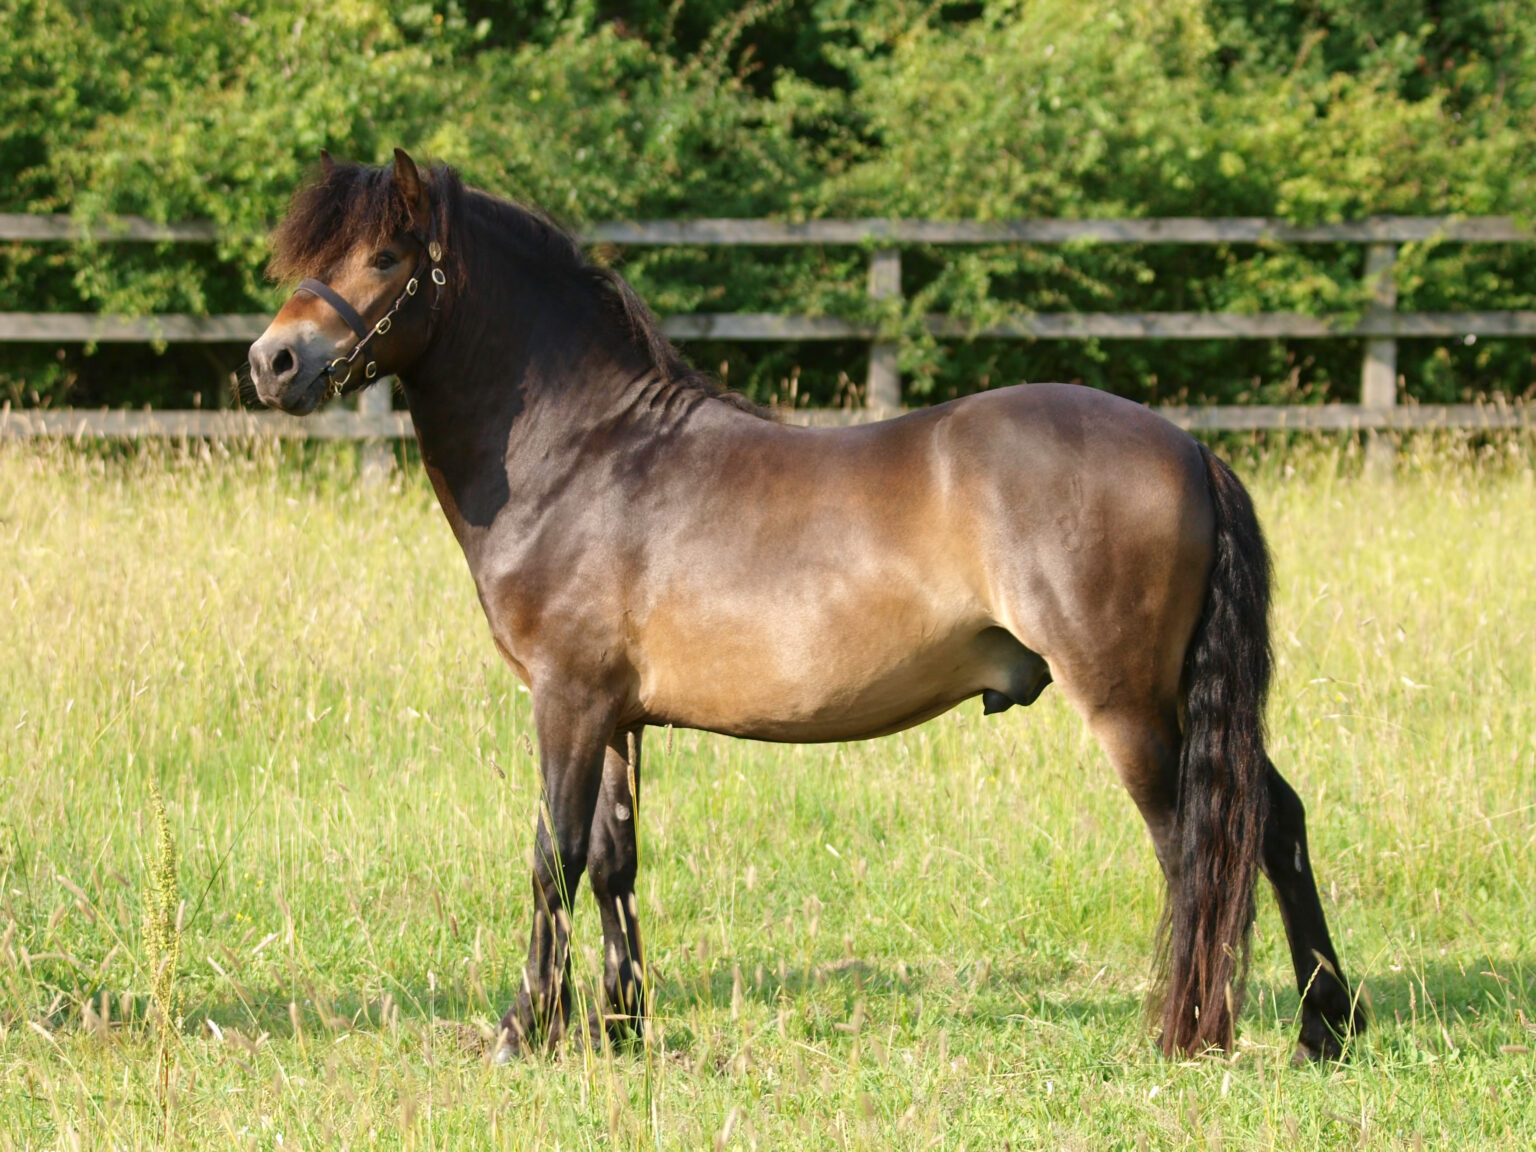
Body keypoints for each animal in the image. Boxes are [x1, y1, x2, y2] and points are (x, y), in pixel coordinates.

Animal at [247, 149, 1363, 1064]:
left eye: (386, 255)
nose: (272, 363)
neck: (587, 452)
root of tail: (1188, 446)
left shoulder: (566, 700)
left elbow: (550, 858)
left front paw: (525, 1031)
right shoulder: (617, 715)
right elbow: (612, 861)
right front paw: (620, 1029)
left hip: (1131, 702)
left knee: (1191, 842)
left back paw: (1190, 1029)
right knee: (1273, 820)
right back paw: (1326, 1025)